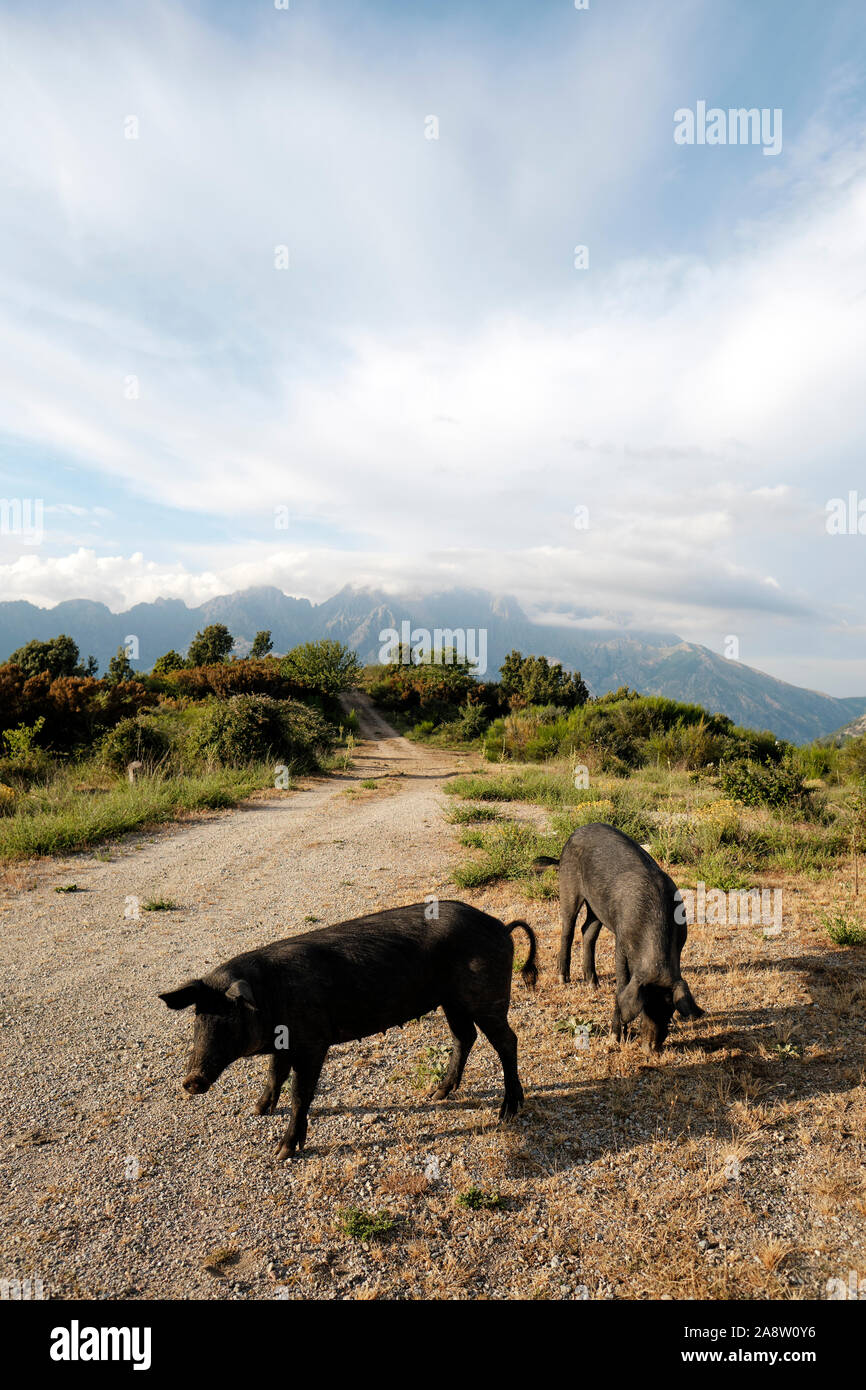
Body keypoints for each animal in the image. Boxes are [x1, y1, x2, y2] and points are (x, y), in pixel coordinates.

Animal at [159, 900, 537, 1159]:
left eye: (230, 1021)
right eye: (199, 1020)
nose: (191, 1081)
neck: (269, 997)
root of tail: (501, 927)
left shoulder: (313, 1042)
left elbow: (300, 1093)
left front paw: (282, 1152)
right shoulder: (284, 1042)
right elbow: (274, 1073)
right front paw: (258, 1109)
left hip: (485, 995)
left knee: (508, 1041)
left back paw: (507, 1112)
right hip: (451, 1001)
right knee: (464, 1037)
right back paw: (436, 1094)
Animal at [534, 822, 702, 1053]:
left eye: (669, 1012)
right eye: (644, 1009)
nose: (651, 1049)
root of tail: (577, 831)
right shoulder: (621, 942)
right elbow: (622, 985)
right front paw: (615, 1038)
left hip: (597, 906)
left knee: (587, 931)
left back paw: (592, 984)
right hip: (568, 887)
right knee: (567, 929)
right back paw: (563, 979)